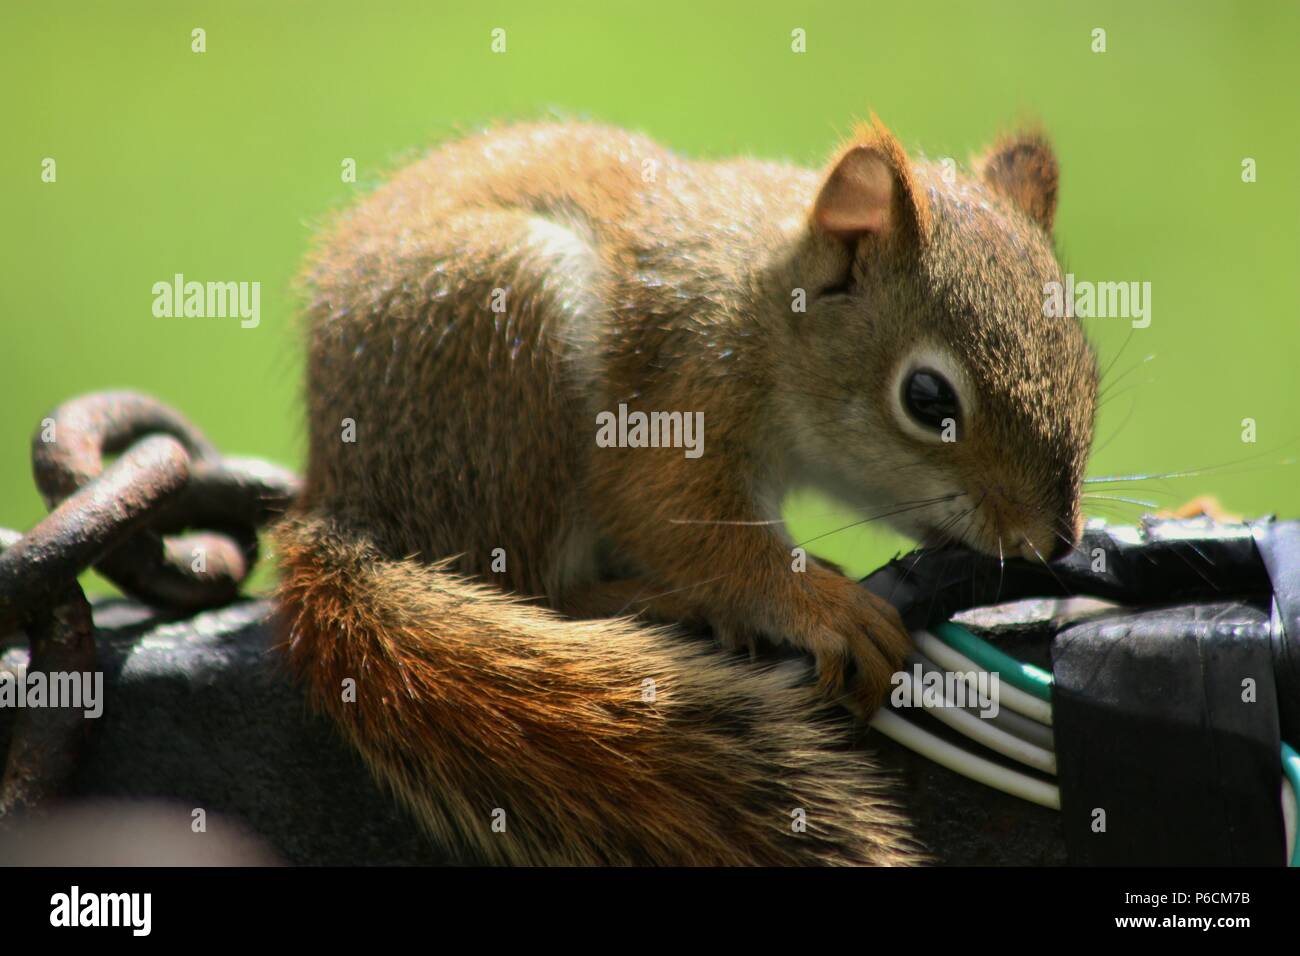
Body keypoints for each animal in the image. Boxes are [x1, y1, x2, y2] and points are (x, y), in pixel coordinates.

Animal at [273, 118, 1097, 865]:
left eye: (1087, 365)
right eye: (928, 399)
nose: (1053, 541)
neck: (765, 305)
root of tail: (343, 496)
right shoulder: (680, 392)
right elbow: (677, 523)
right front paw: (820, 606)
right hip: (507, 335)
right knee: (535, 581)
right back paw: (654, 600)